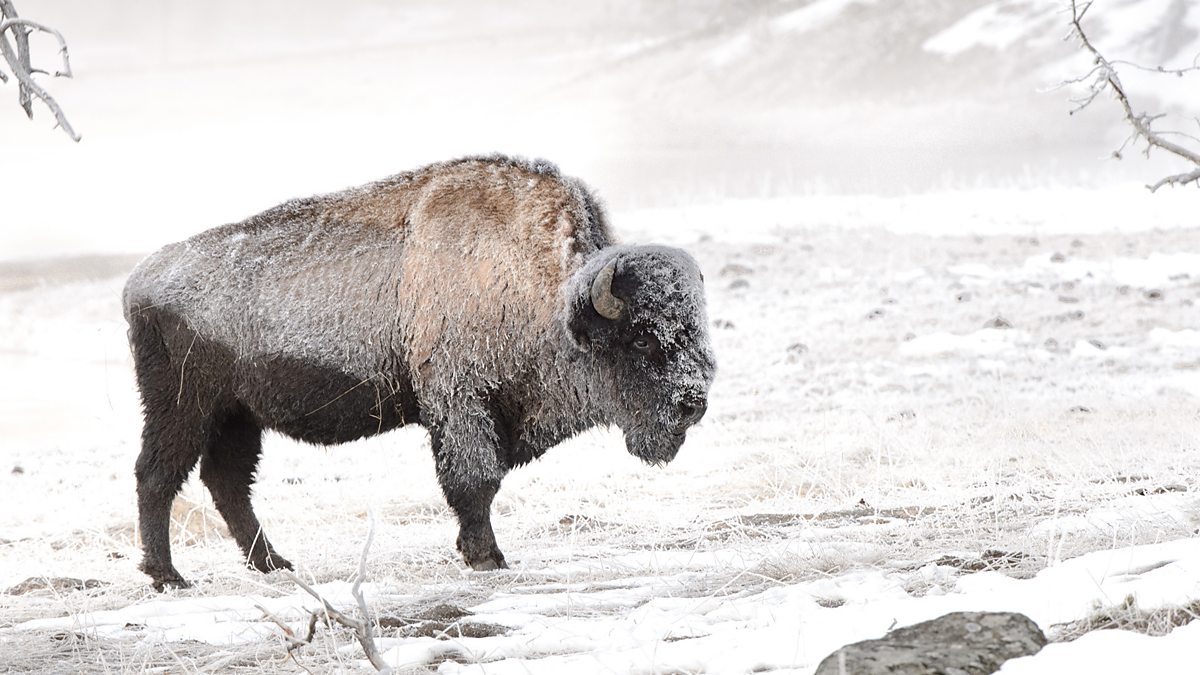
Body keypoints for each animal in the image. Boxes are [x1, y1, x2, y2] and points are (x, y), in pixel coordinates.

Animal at [123, 155, 716, 590]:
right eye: (642, 337)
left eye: (695, 325)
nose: (694, 402)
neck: (547, 294)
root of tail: (139, 279)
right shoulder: (460, 402)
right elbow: (475, 480)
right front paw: (487, 558)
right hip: (183, 407)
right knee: (157, 476)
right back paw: (169, 577)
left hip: (237, 418)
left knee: (227, 484)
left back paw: (273, 564)